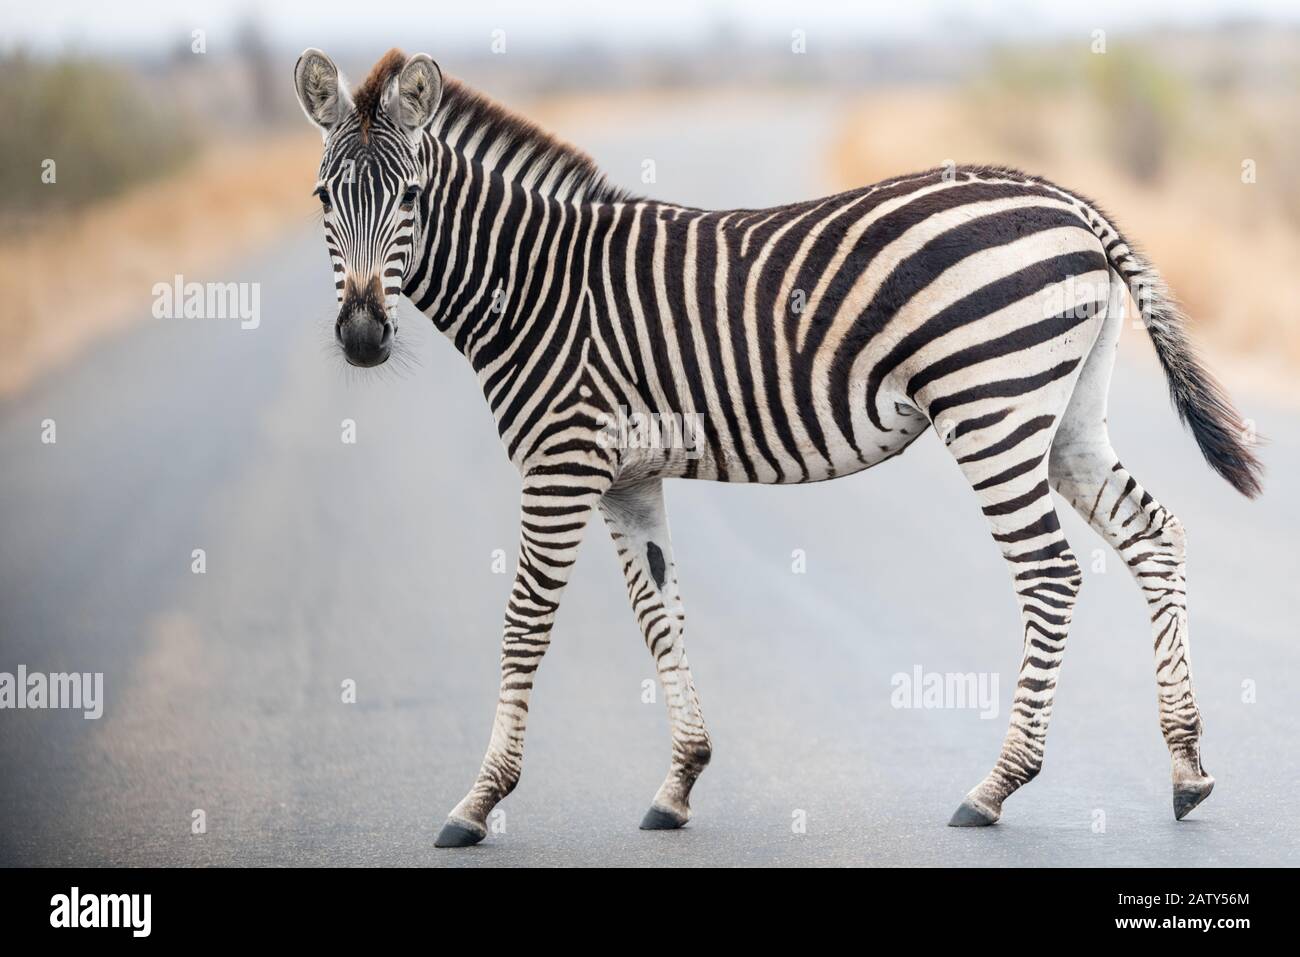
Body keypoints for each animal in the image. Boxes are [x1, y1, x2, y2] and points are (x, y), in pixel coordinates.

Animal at [293, 48, 1262, 847]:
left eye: (411, 198)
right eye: (323, 201)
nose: (363, 337)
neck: (532, 285)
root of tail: (1068, 201)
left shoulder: (562, 462)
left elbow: (525, 620)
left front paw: (479, 799)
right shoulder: (626, 477)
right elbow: (660, 614)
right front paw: (679, 783)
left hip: (991, 404)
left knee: (1051, 572)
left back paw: (995, 786)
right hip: (1064, 418)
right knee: (1153, 535)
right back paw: (1187, 768)